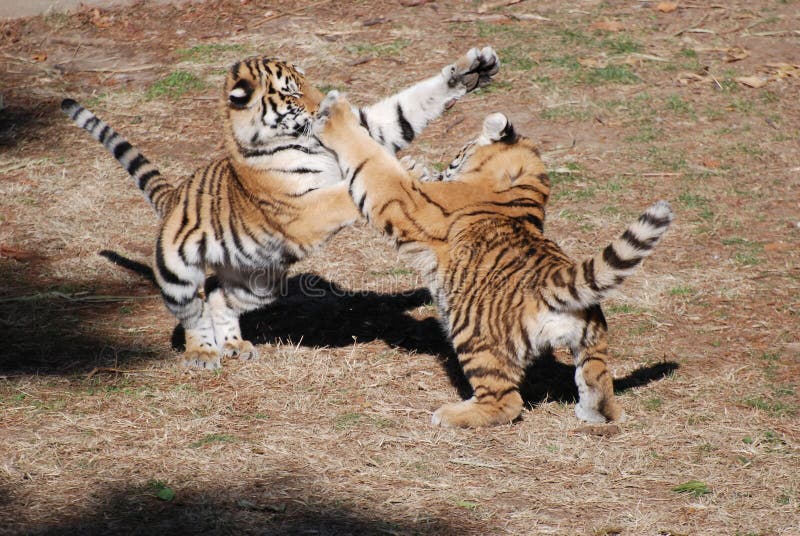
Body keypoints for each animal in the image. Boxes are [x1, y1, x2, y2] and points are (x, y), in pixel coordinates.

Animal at [61, 48, 500, 369]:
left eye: (307, 82)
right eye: (291, 92)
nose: (324, 104)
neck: (302, 141)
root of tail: (174, 197)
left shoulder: (369, 128)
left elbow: (403, 110)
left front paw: (470, 71)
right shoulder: (303, 209)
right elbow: (345, 189)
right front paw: (407, 170)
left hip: (259, 282)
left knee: (218, 296)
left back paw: (233, 345)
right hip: (176, 273)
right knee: (193, 310)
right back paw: (202, 353)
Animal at [310, 91, 674, 427]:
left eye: (458, 153)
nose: (445, 166)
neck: (524, 187)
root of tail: (556, 279)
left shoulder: (403, 198)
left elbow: (370, 158)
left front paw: (335, 114)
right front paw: (417, 165)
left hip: (474, 337)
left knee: (506, 402)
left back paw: (451, 414)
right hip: (593, 344)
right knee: (599, 387)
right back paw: (594, 414)